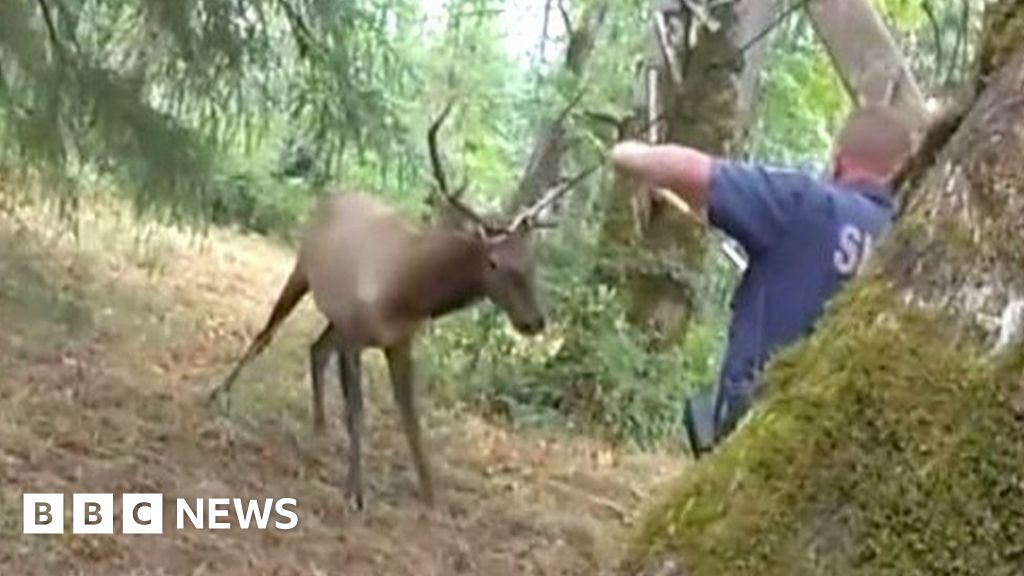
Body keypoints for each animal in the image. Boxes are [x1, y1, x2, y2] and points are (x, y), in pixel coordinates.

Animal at [207, 102, 591, 510]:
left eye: (533, 261)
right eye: (494, 262)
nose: (534, 321)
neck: (407, 292)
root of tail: (332, 195)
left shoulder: (399, 342)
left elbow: (410, 416)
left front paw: (430, 492)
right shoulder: (355, 338)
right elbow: (358, 412)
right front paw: (355, 489)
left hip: (336, 317)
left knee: (316, 349)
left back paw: (319, 426)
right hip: (303, 272)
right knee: (268, 333)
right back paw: (221, 392)